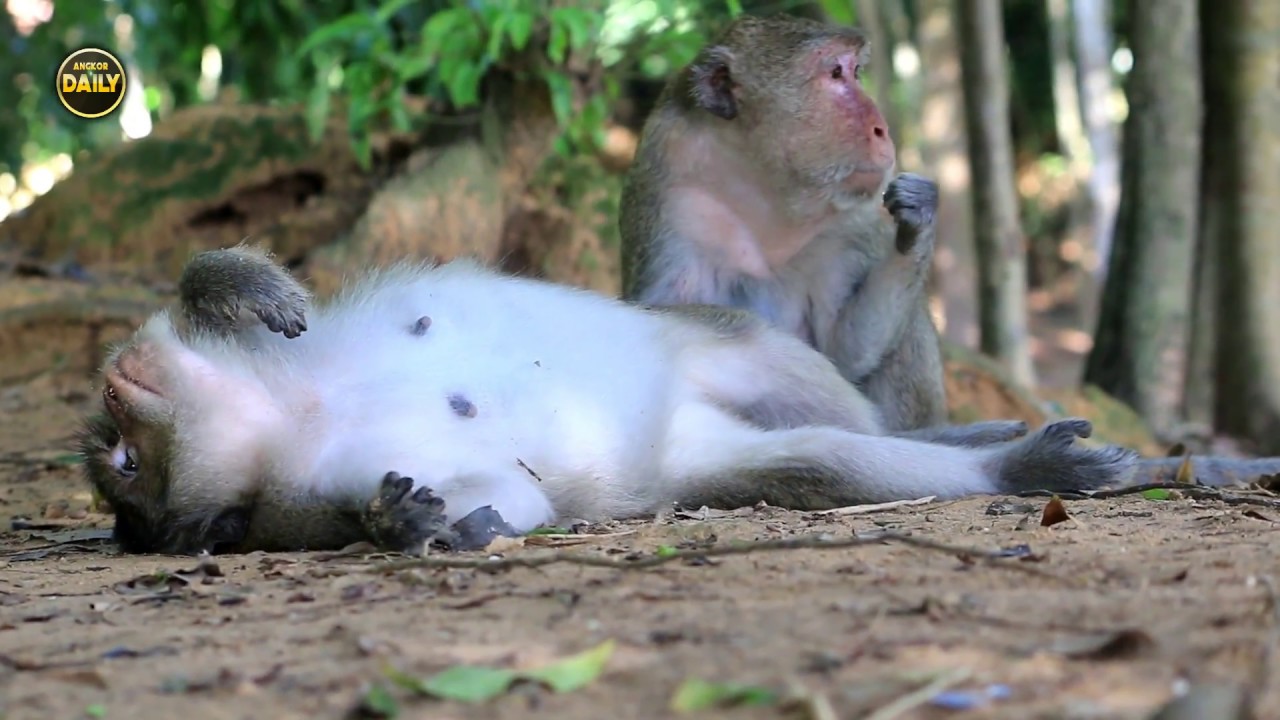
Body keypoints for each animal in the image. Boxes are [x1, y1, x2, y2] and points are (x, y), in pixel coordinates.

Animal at [76, 245, 1159, 557]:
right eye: (122, 466)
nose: (113, 386)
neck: (292, 414)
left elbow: (211, 299)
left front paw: (240, 285)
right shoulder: (287, 503)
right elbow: (507, 497)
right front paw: (402, 522)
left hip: (701, 346)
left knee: (798, 380)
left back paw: (971, 434)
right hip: (694, 451)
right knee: (820, 463)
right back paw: (1016, 465)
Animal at [619, 14, 995, 444]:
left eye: (856, 71)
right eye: (835, 73)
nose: (882, 129)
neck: (764, 183)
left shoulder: (853, 220)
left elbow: (845, 348)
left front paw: (917, 223)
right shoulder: (671, 191)